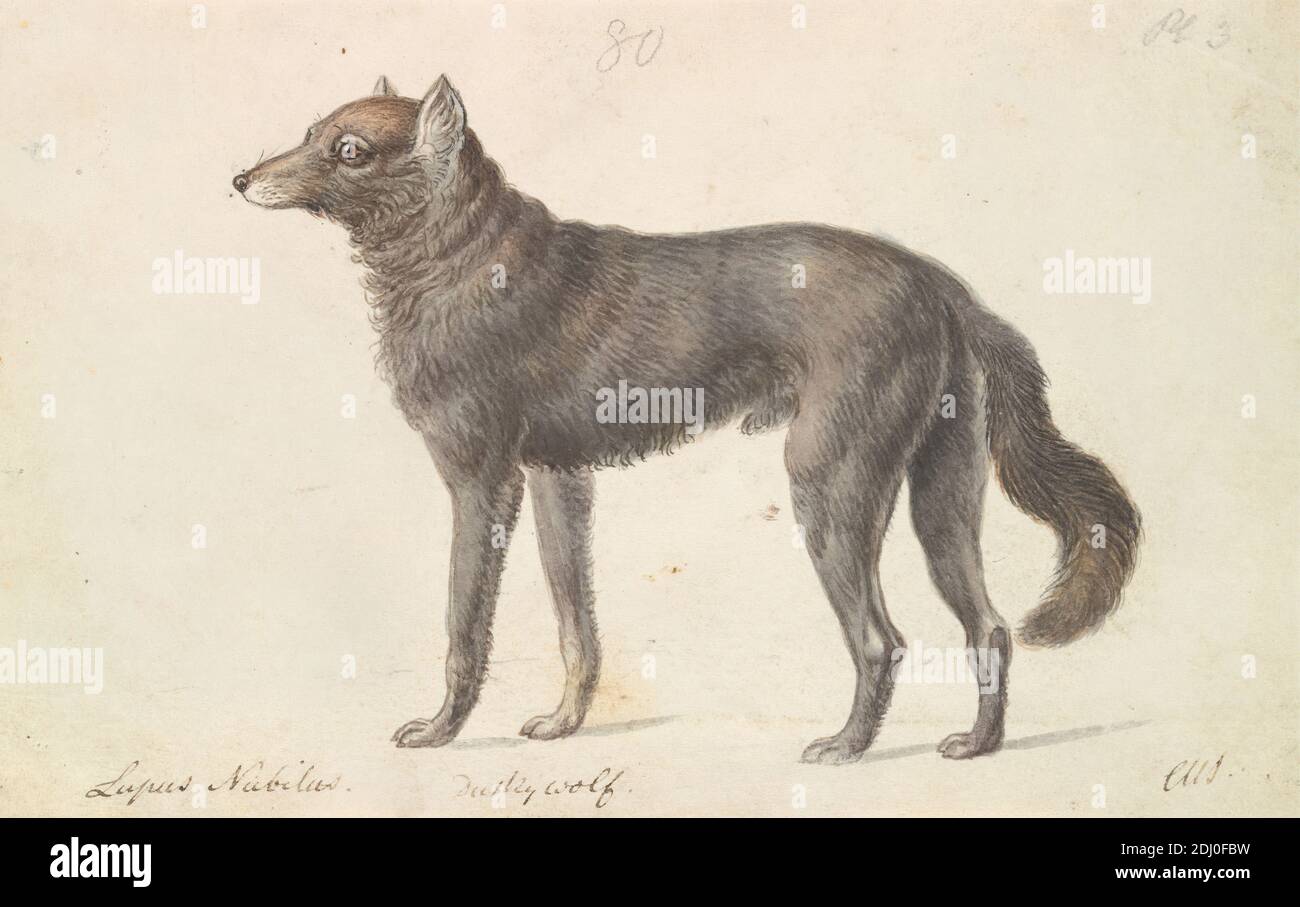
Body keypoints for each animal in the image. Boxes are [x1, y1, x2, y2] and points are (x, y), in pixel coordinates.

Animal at [234, 75, 1140, 763]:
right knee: (988, 625)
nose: (241, 181)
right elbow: (576, 625)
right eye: (311, 132)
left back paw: (845, 747)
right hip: (939, 494)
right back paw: (977, 745)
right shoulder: (557, 479)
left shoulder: (479, 482)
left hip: (832, 483)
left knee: (882, 637)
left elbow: (464, 623)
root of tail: (944, 287)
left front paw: (437, 730)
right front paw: (563, 723)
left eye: (350, 151)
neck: (462, 256)